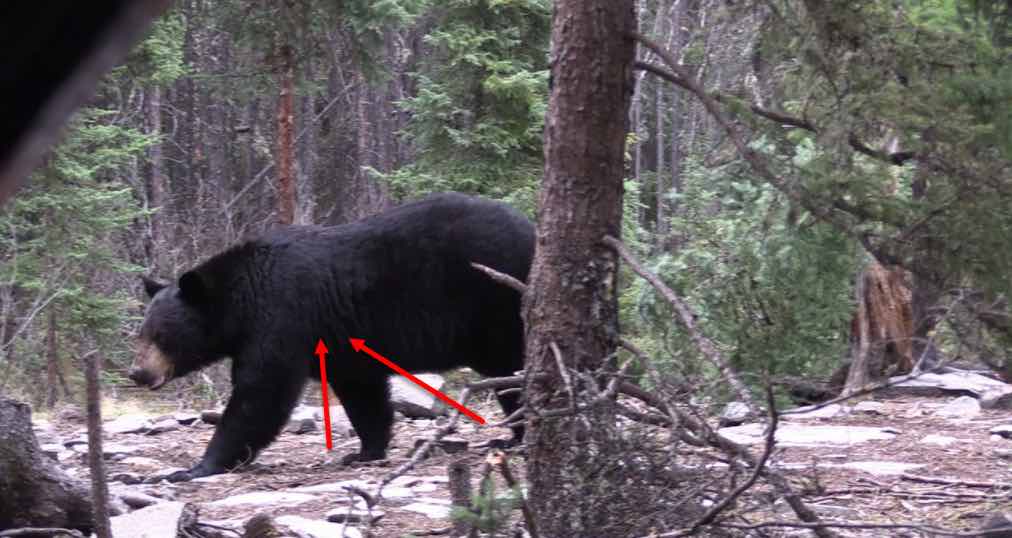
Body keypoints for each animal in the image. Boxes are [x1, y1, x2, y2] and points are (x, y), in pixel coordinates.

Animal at [130, 193, 534, 482]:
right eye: (142, 332)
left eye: (161, 334)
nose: (137, 372)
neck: (243, 299)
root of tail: (532, 230)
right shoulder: (342, 343)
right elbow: (362, 393)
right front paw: (365, 451)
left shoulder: (282, 318)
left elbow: (260, 394)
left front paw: (195, 467)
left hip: (496, 305)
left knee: (513, 373)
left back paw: (514, 435)